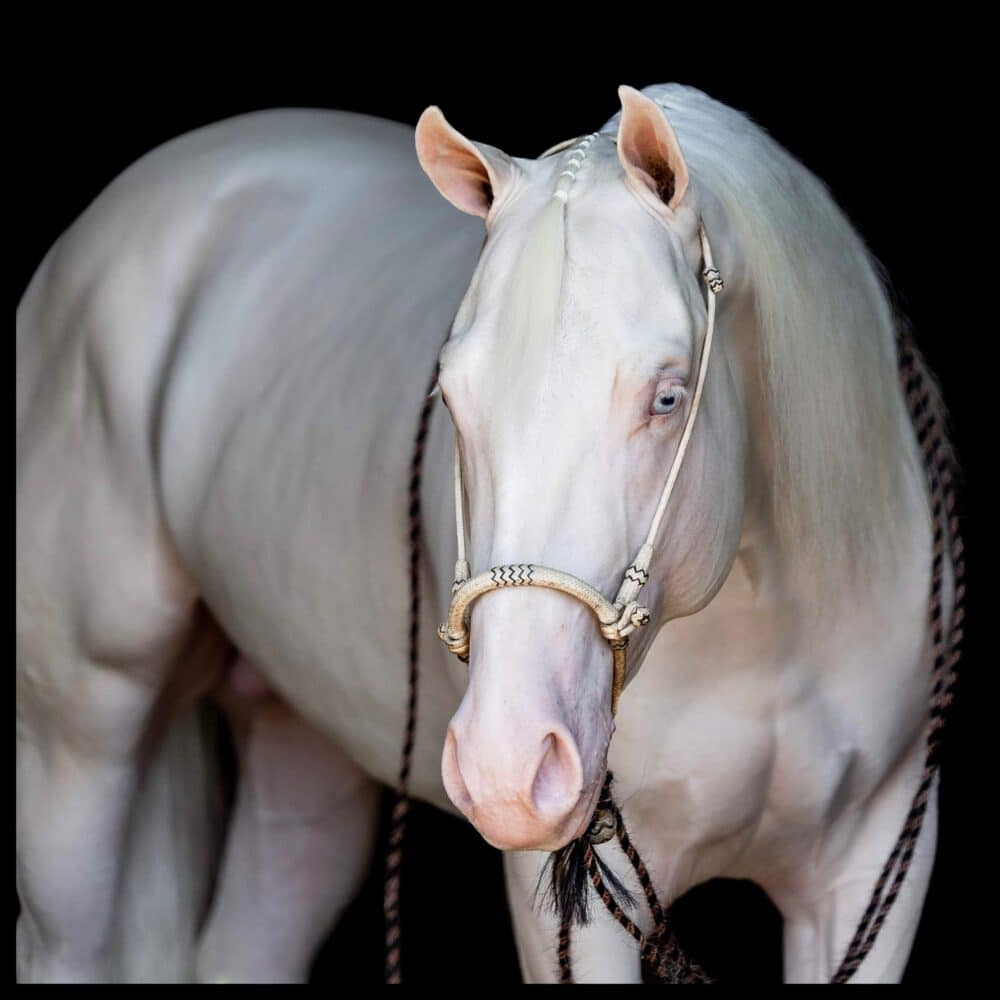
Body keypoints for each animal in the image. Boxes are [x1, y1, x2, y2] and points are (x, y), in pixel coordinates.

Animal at [15, 82, 956, 983]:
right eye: (453, 398)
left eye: (668, 396)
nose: (505, 767)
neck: (765, 634)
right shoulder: (576, 902)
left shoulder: (874, 870)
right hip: (80, 733)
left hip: (301, 739)